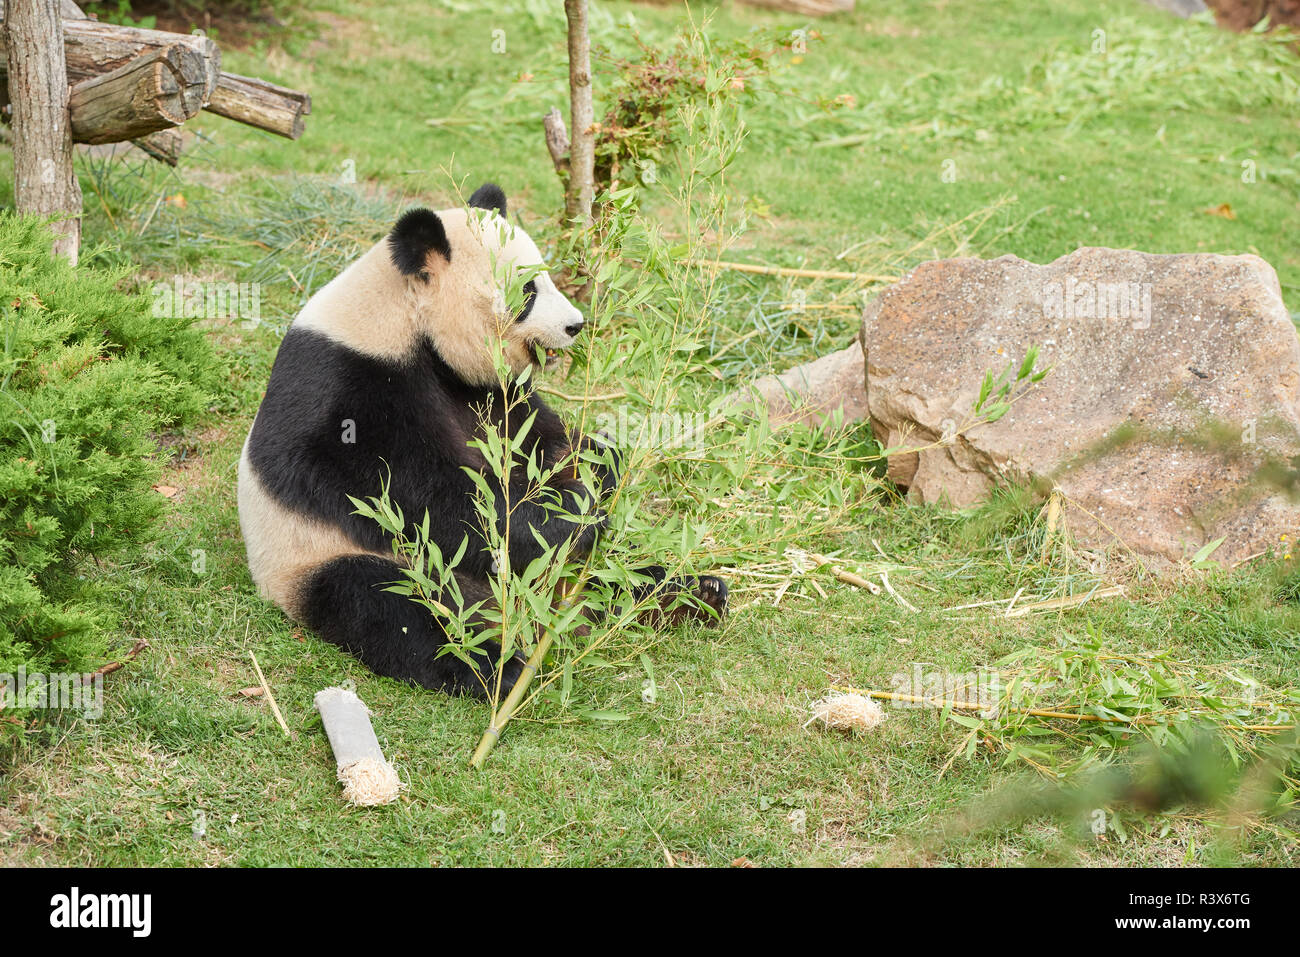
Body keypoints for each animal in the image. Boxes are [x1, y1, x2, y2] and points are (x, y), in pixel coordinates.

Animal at [238, 183, 727, 697]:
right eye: (528, 292)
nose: (576, 325)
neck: (403, 319)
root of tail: (518, 609)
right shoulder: (345, 378)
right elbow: (408, 492)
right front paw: (566, 510)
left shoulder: (482, 390)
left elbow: (536, 437)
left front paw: (597, 462)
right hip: (323, 559)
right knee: (388, 605)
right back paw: (497, 669)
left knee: (607, 574)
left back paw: (689, 594)